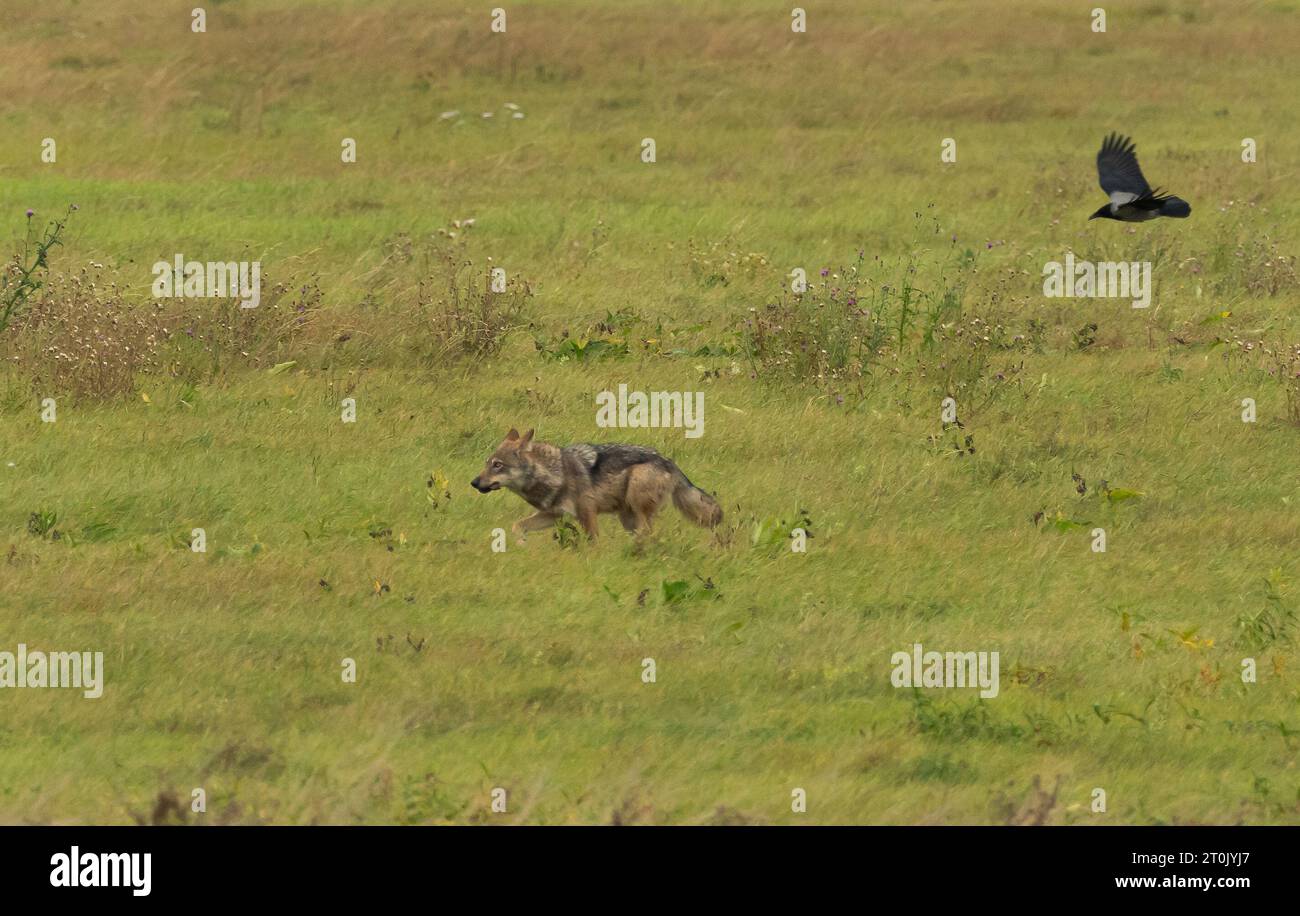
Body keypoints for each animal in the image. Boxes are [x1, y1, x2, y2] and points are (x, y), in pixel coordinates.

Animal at [471, 428, 722, 542]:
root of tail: (668, 461)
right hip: (627, 517)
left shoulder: (587, 513)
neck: (555, 473)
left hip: (636, 506)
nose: (474, 482)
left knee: (648, 534)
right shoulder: (554, 515)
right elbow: (517, 526)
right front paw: (521, 544)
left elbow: (593, 542)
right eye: (487, 463)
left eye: (498, 465)